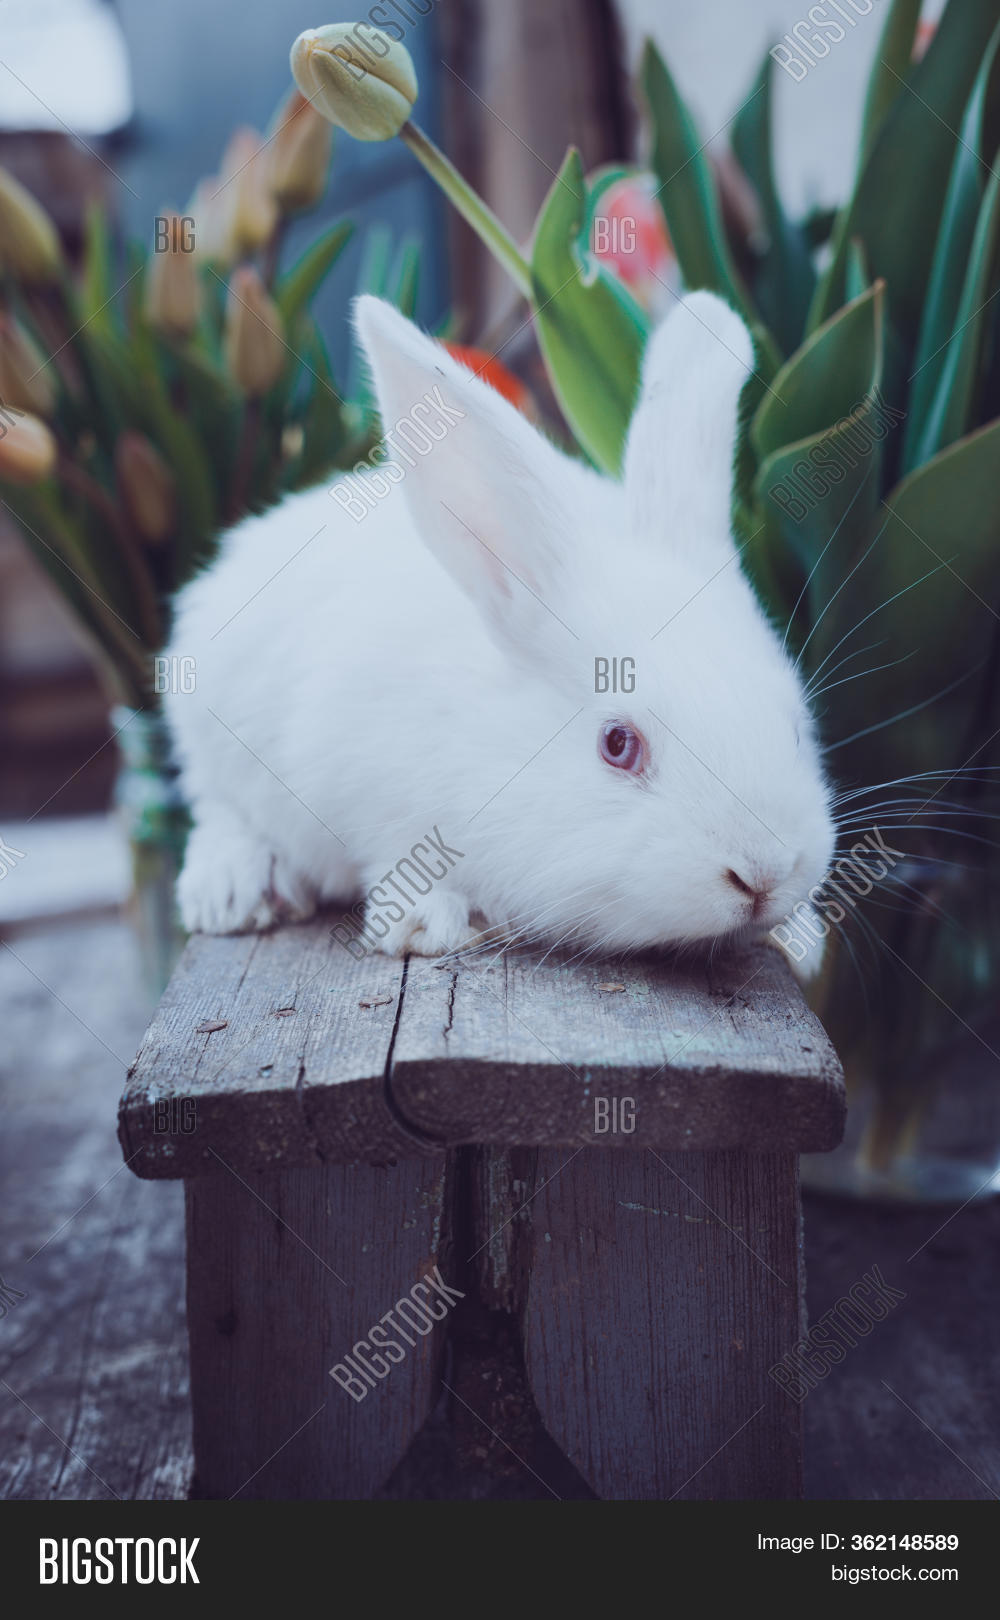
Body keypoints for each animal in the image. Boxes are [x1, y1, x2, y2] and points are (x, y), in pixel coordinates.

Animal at [164, 289, 835, 971]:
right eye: (617, 744)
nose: (764, 872)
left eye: (794, 727)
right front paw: (428, 924)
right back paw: (234, 891)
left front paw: (800, 943)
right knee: (220, 812)